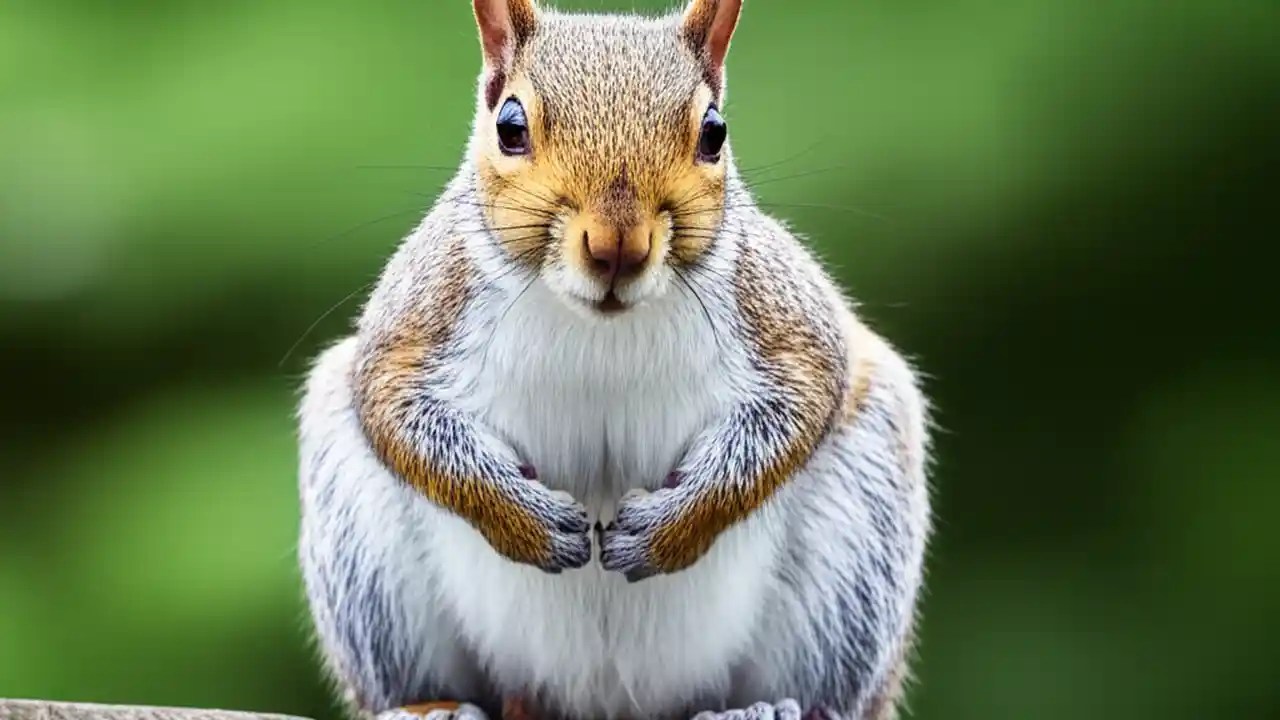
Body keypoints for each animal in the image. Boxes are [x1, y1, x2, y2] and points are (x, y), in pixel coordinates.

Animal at [297, 1, 932, 720]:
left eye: (714, 132)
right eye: (509, 126)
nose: (616, 245)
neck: (599, 324)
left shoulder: (781, 318)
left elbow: (806, 397)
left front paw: (665, 530)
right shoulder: (422, 315)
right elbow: (393, 406)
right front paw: (530, 523)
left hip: (855, 549)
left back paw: (762, 707)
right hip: (366, 561)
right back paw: (431, 706)